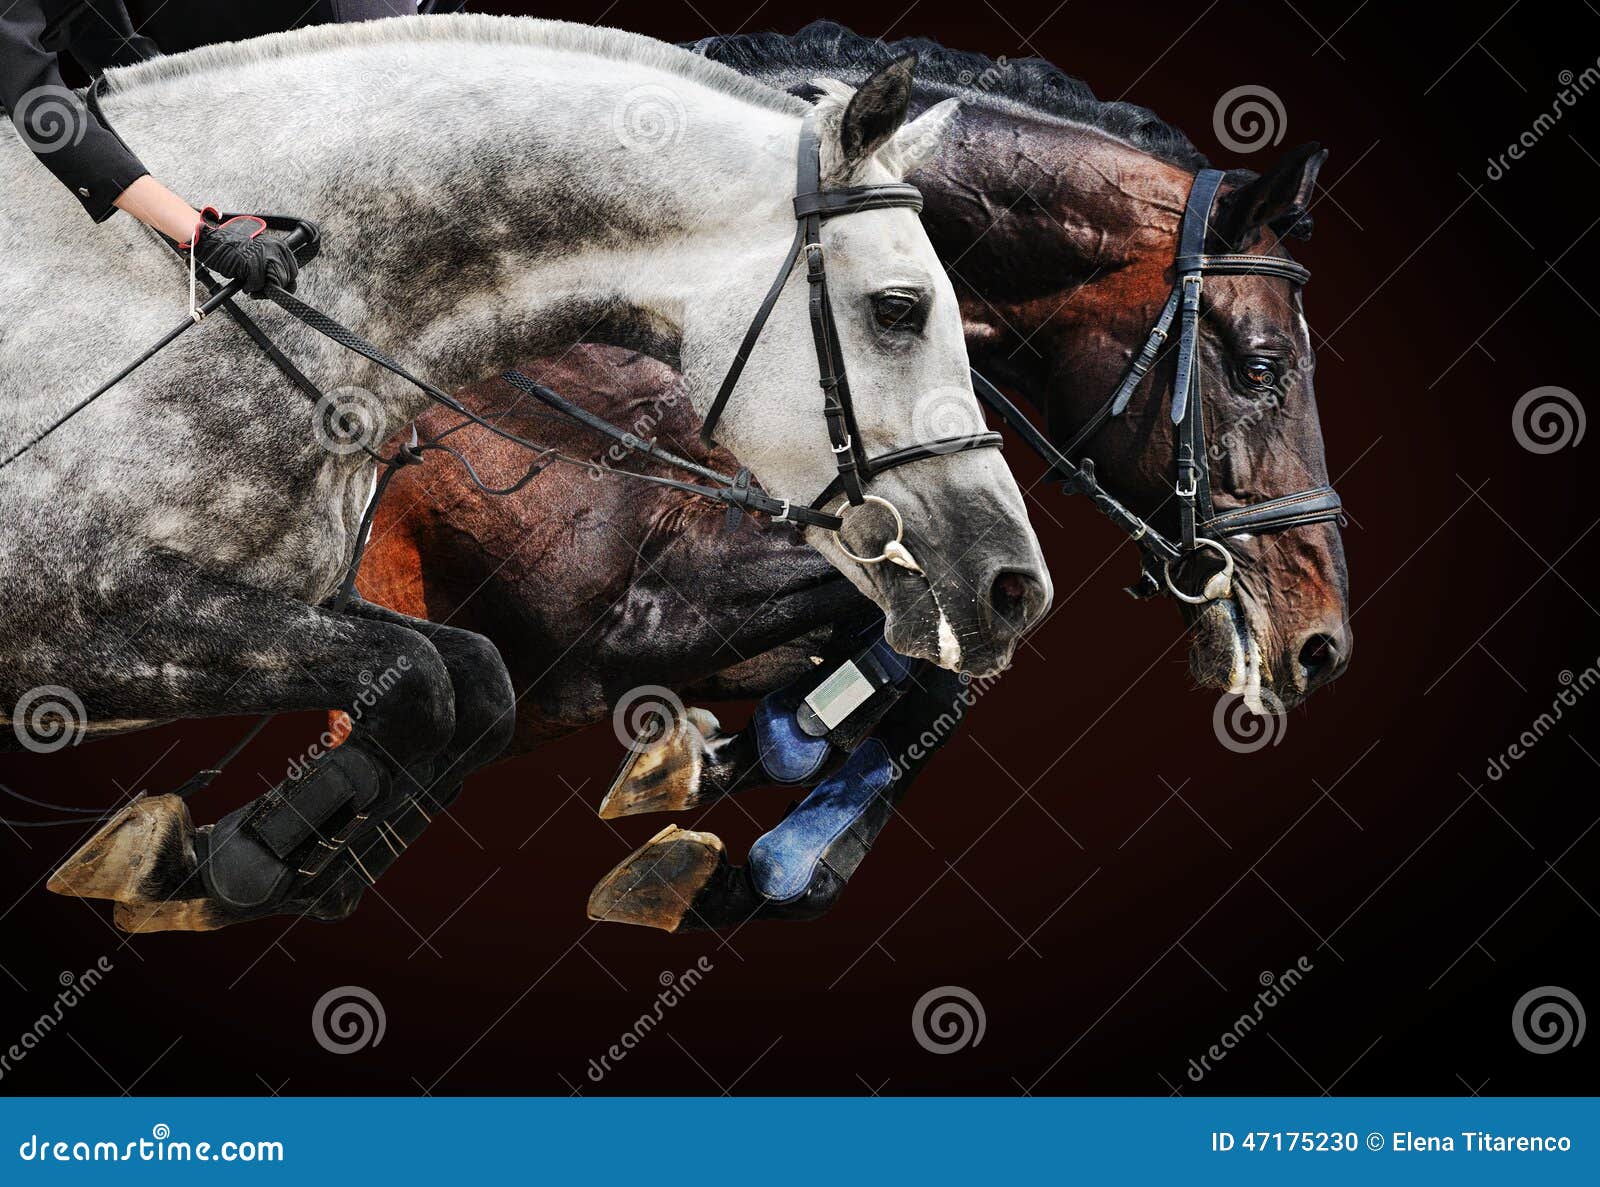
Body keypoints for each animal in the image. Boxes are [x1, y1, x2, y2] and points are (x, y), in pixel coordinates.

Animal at [3, 15, 1047, 933]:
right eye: (899, 308)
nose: (1015, 588)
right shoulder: (85, 625)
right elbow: (424, 682)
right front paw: (225, 863)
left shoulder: (328, 603)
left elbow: (470, 682)